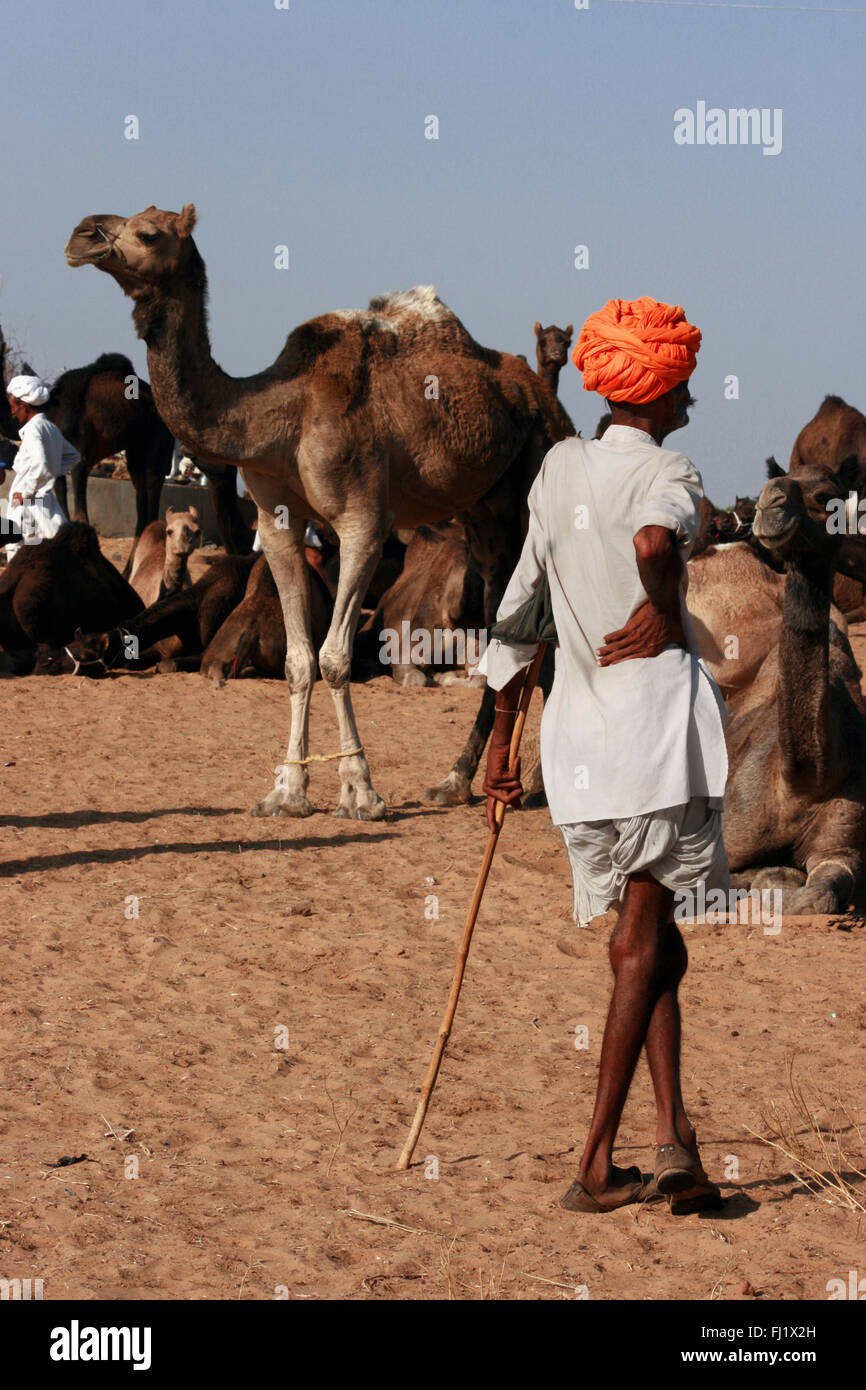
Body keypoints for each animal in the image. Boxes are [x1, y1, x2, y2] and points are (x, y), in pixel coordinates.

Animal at [65, 203, 574, 819]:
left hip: (535, 481)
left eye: (147, 233)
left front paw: (360, 791)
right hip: (486, 519)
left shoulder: (362, 522)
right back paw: (460, 782)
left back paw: (540, 785)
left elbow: (334, 657)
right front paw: (286, 791)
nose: (81, 237)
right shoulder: (276, 523)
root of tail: (548, 403)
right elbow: (298, 660)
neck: (280, 412)